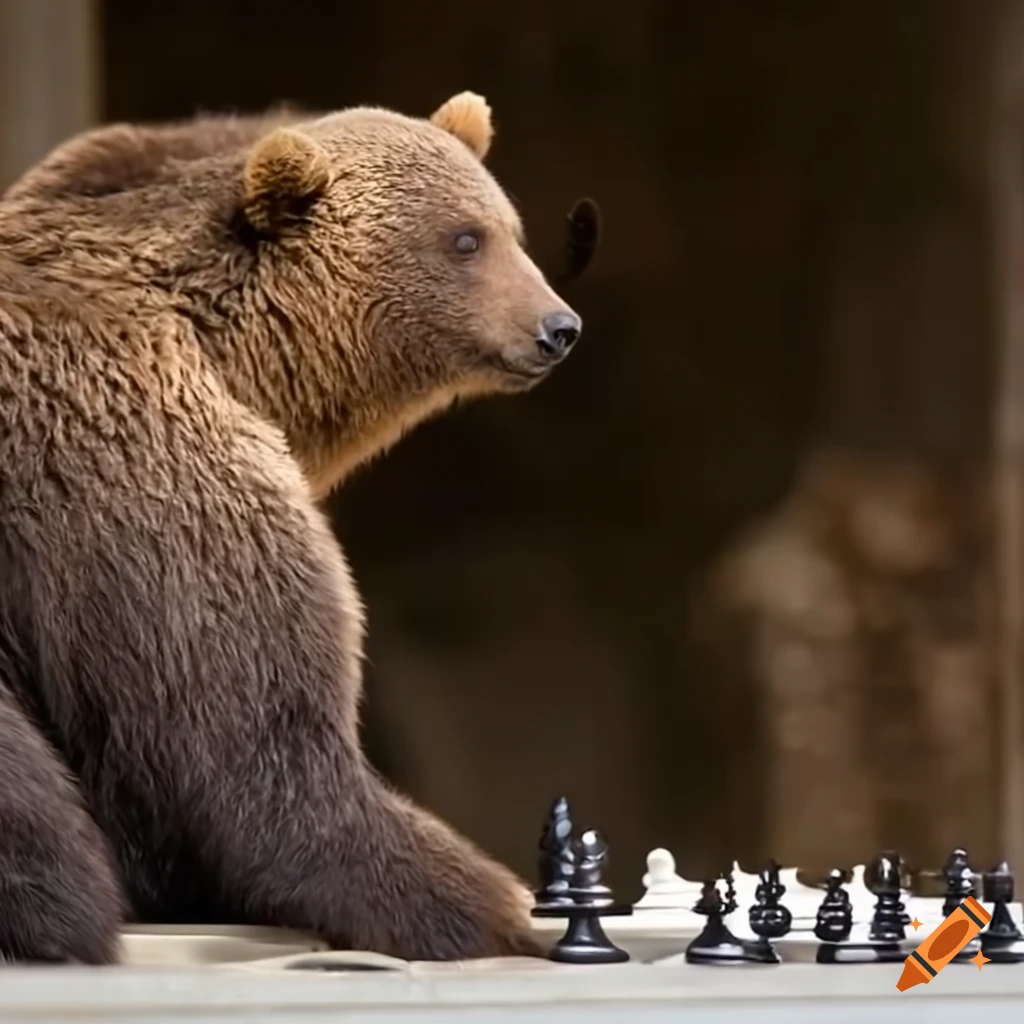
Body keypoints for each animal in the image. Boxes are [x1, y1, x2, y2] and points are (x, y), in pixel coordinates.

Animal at [0, 91, 584, 964]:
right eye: (464, 239)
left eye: (508, 227)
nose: (558, 326)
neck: (241, 353)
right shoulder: (145, 459)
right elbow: (258, 738)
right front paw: (493, 908)